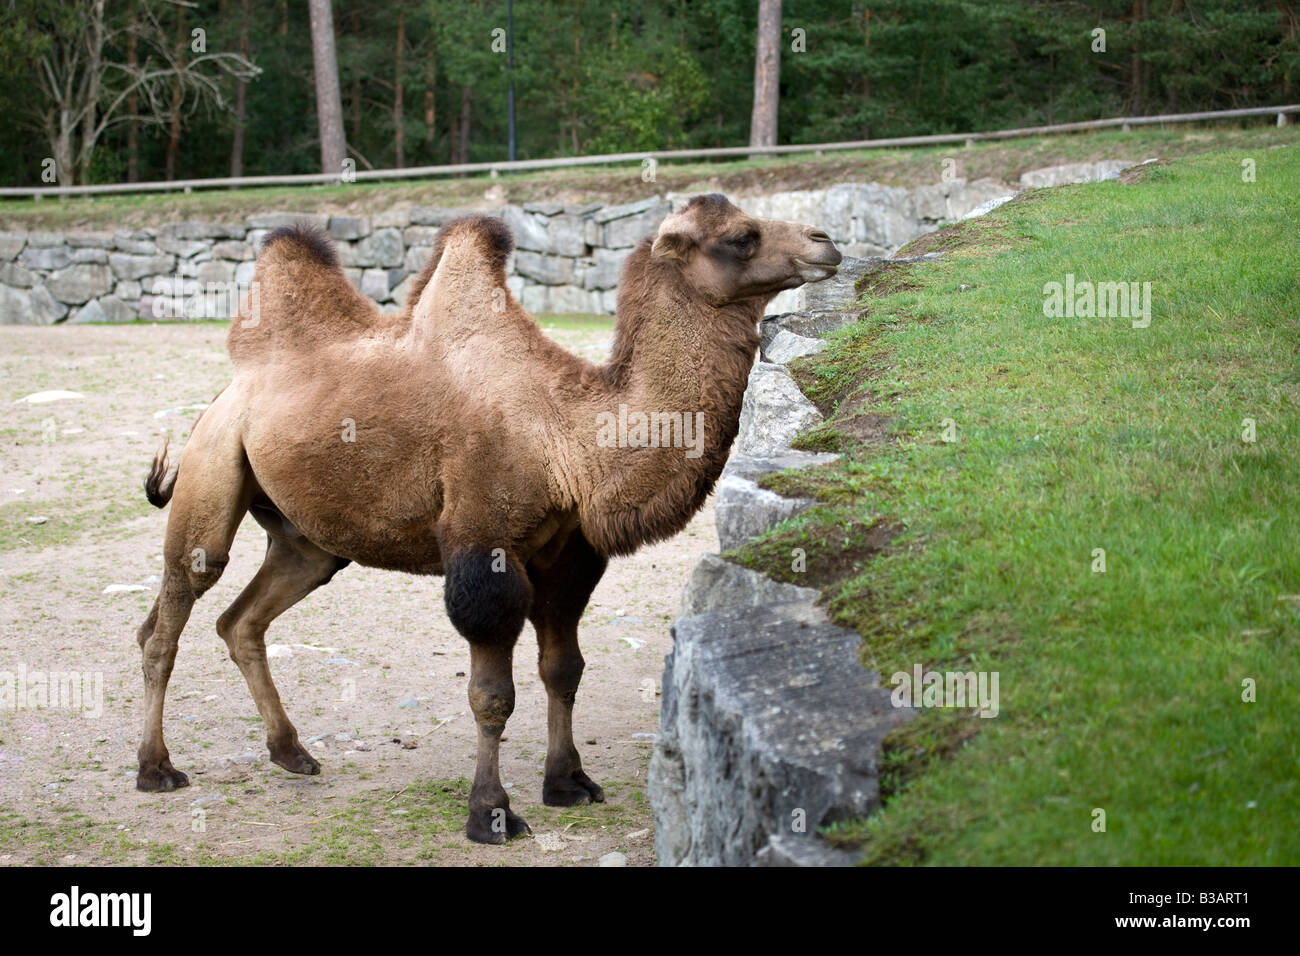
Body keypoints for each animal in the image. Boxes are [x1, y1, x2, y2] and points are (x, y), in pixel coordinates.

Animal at [134, 193, 841, 843]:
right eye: (742, 235)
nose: (827, 241)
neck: (571, 437)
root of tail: (228, 390)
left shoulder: (568, 556)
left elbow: (563, 670)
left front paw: (569, 782)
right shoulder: (483, 545)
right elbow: (492, 695)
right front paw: (490, 812)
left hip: (307, 540)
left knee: (242, 619)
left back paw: (291, 752)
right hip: (212, 464)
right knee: (171, 613)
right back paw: (156, 768)